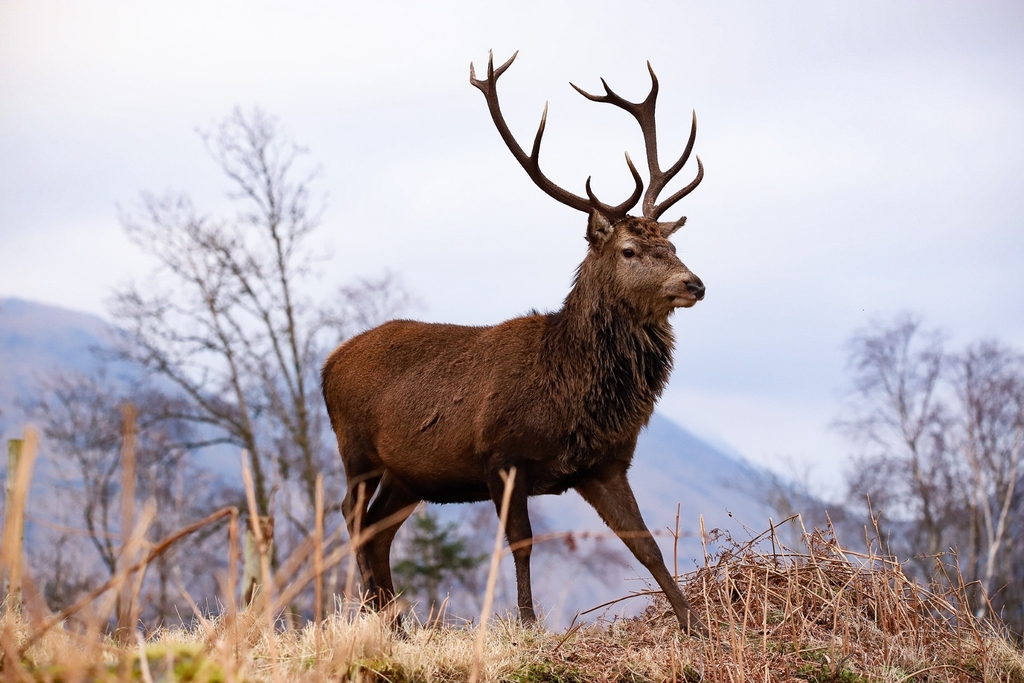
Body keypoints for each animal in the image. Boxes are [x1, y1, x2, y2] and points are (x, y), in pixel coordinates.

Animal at [321, 51, 708, 634]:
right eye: (630, 250)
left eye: (673, 244)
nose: (694, 284)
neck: (570, 389)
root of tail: (325, 365)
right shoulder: (503, 456)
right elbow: (522, 544)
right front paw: (527, 624)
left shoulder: (604, 465)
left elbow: (645, 545)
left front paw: (693, 623)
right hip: (357, 448)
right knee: (351, 514)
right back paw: (372, 611)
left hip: (408, 476)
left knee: (379, 529)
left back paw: (395, 622)